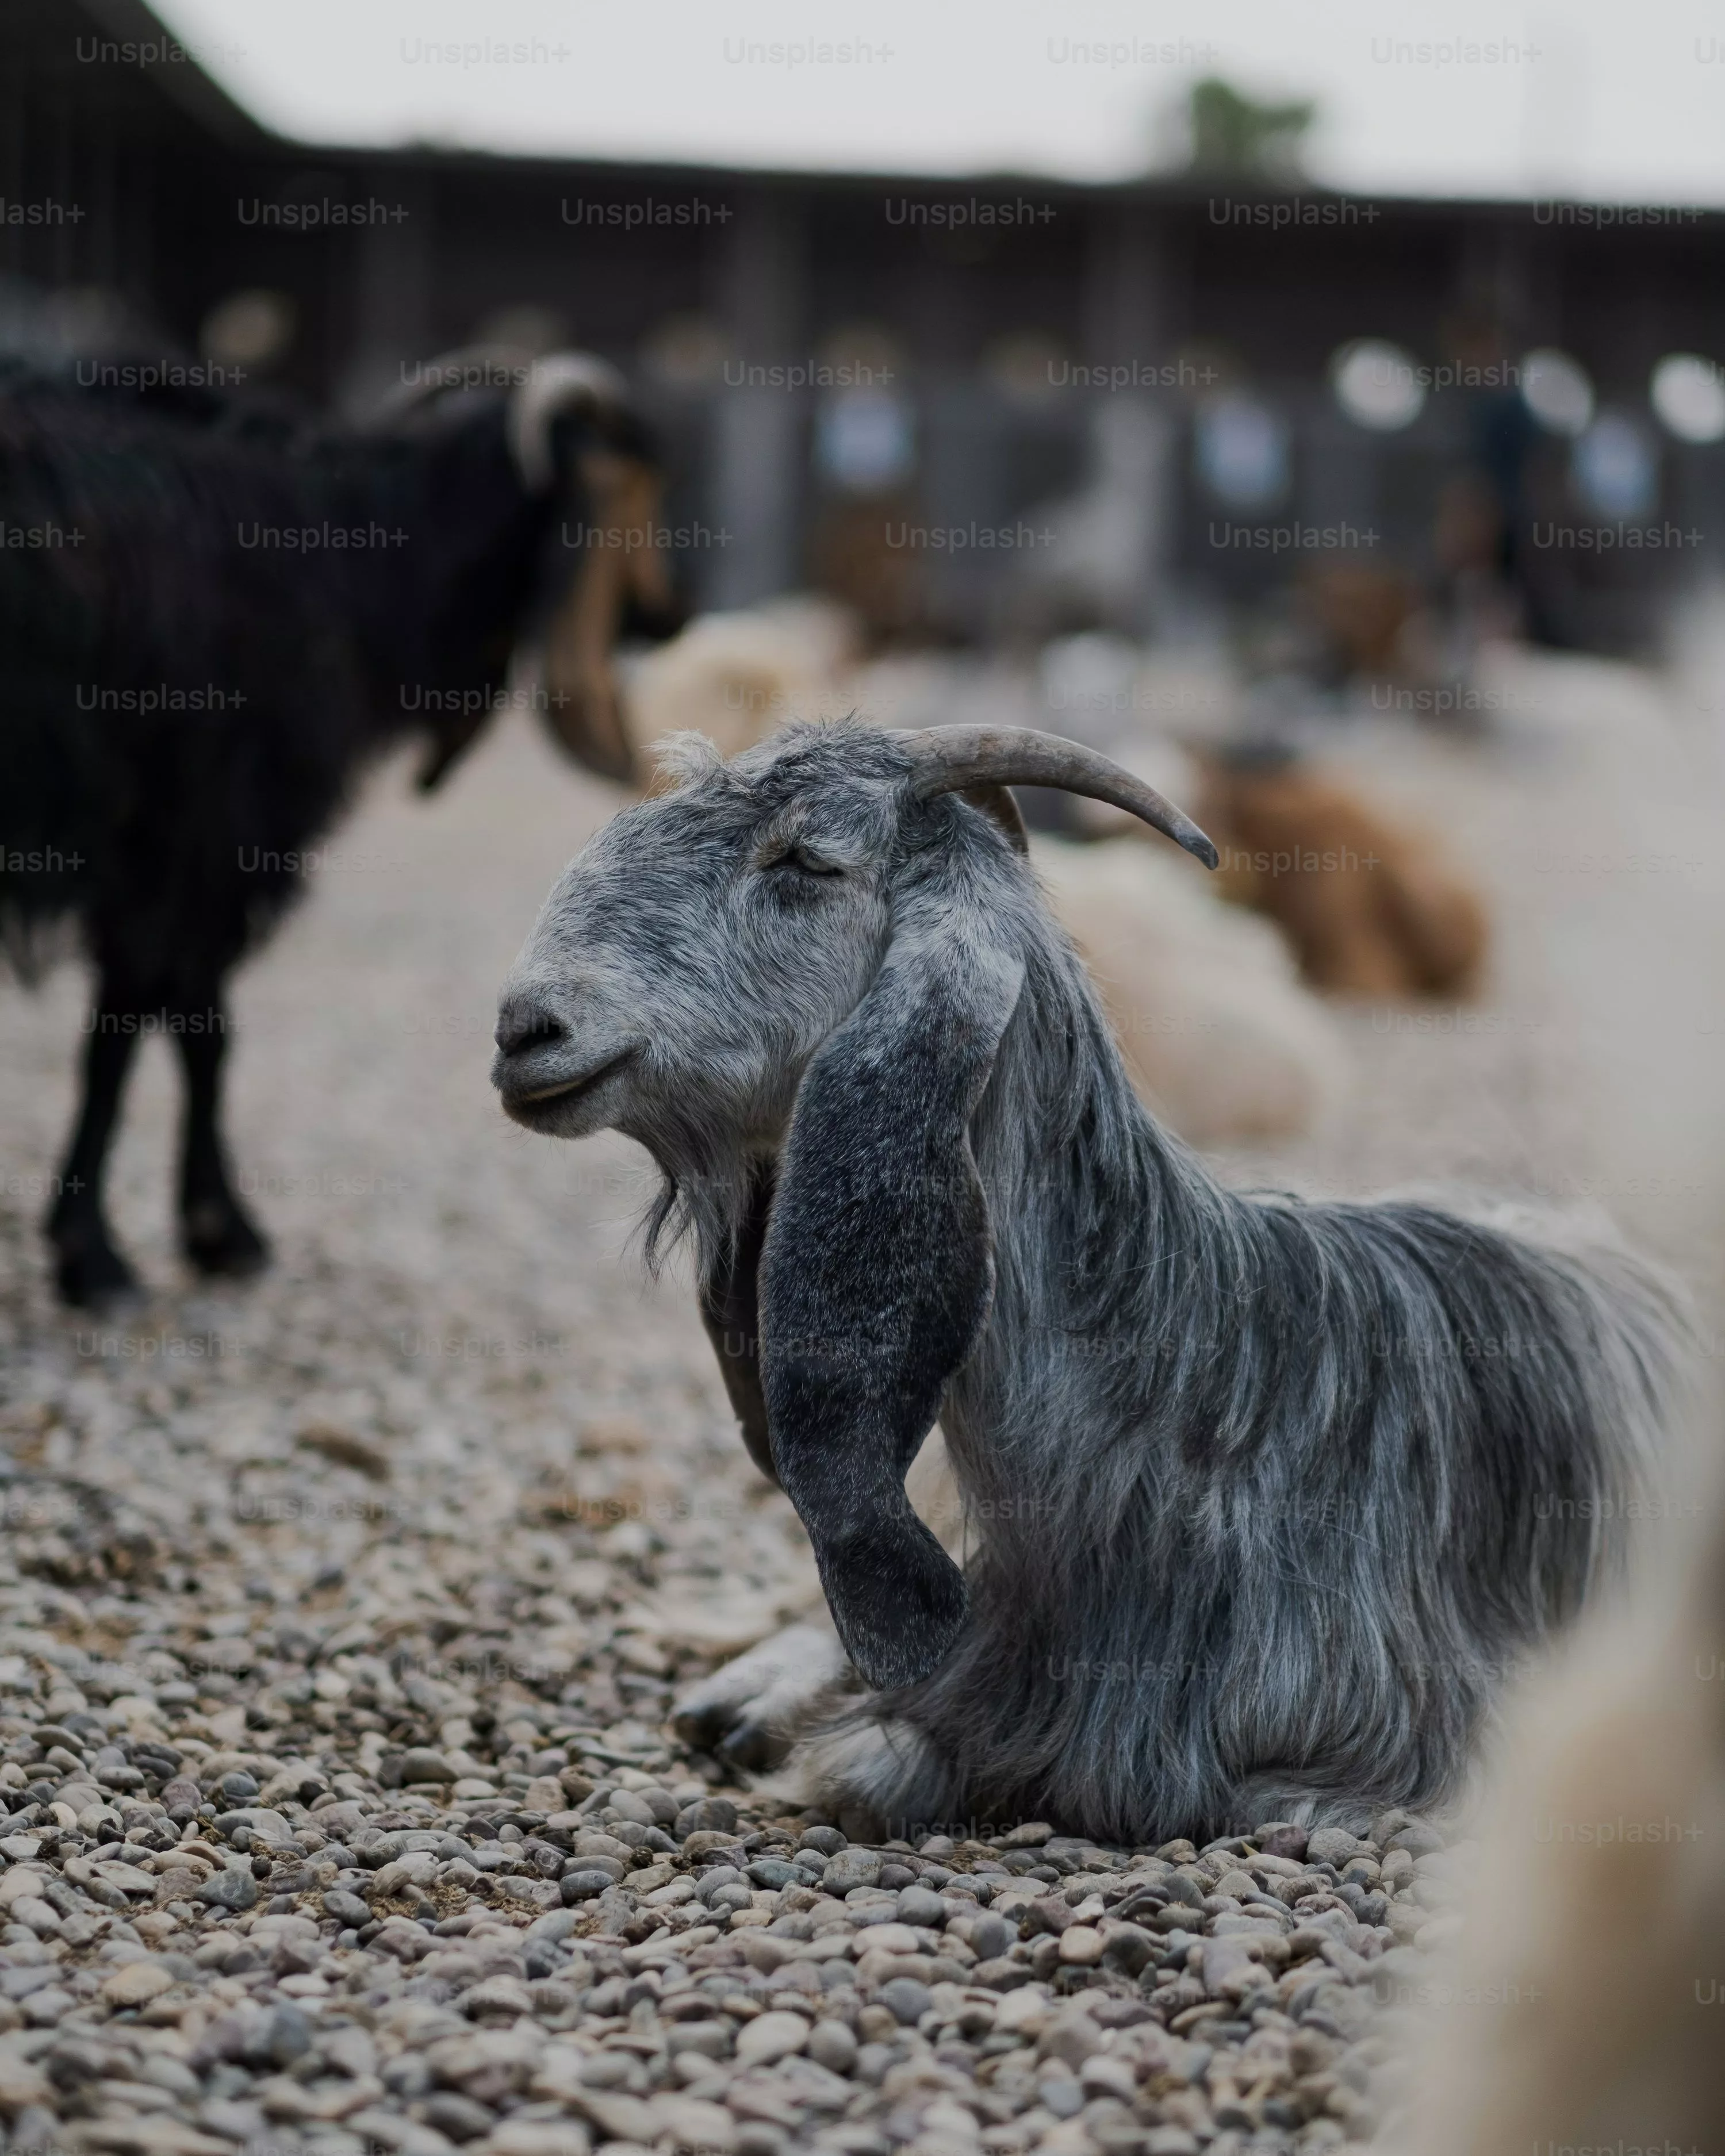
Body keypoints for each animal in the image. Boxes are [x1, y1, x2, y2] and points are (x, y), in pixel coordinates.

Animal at [0, 347, 673, 1306]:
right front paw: (109, 1252)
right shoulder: (197, 830)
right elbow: (147, 1027)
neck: (348, 562)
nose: (671, 613)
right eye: (637, 487)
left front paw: (208, 1231)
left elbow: (188, 1020)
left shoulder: (196, 848)